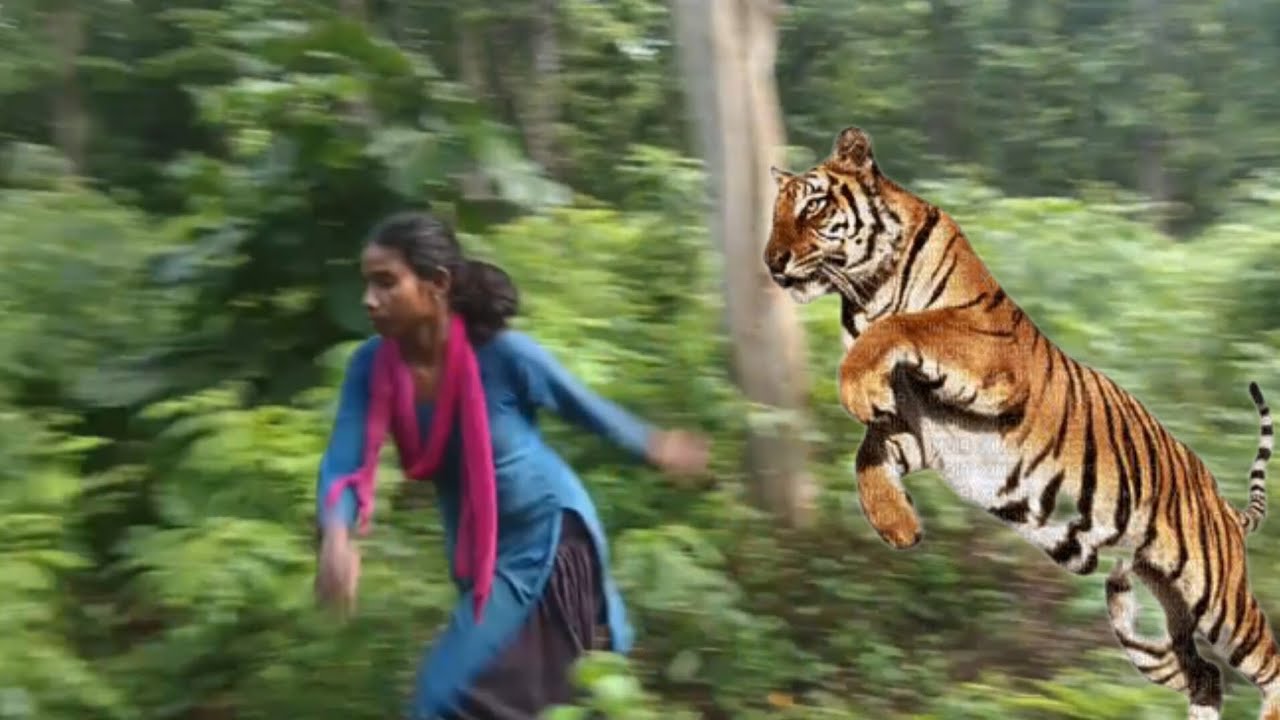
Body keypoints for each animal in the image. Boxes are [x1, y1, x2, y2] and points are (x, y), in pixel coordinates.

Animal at [763, 125, 1279, 720]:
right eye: (775, 213)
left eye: (814, 205)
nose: (771, 261)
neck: (862, 294)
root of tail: (1222, 503)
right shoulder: (924, 427)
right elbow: (866, 455)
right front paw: (898, 525)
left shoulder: (991, 356)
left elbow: (903, 327)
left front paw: (857, 388)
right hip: (1159, 598)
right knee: (1205, 675)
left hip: (1215, 593)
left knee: (1268, 662)